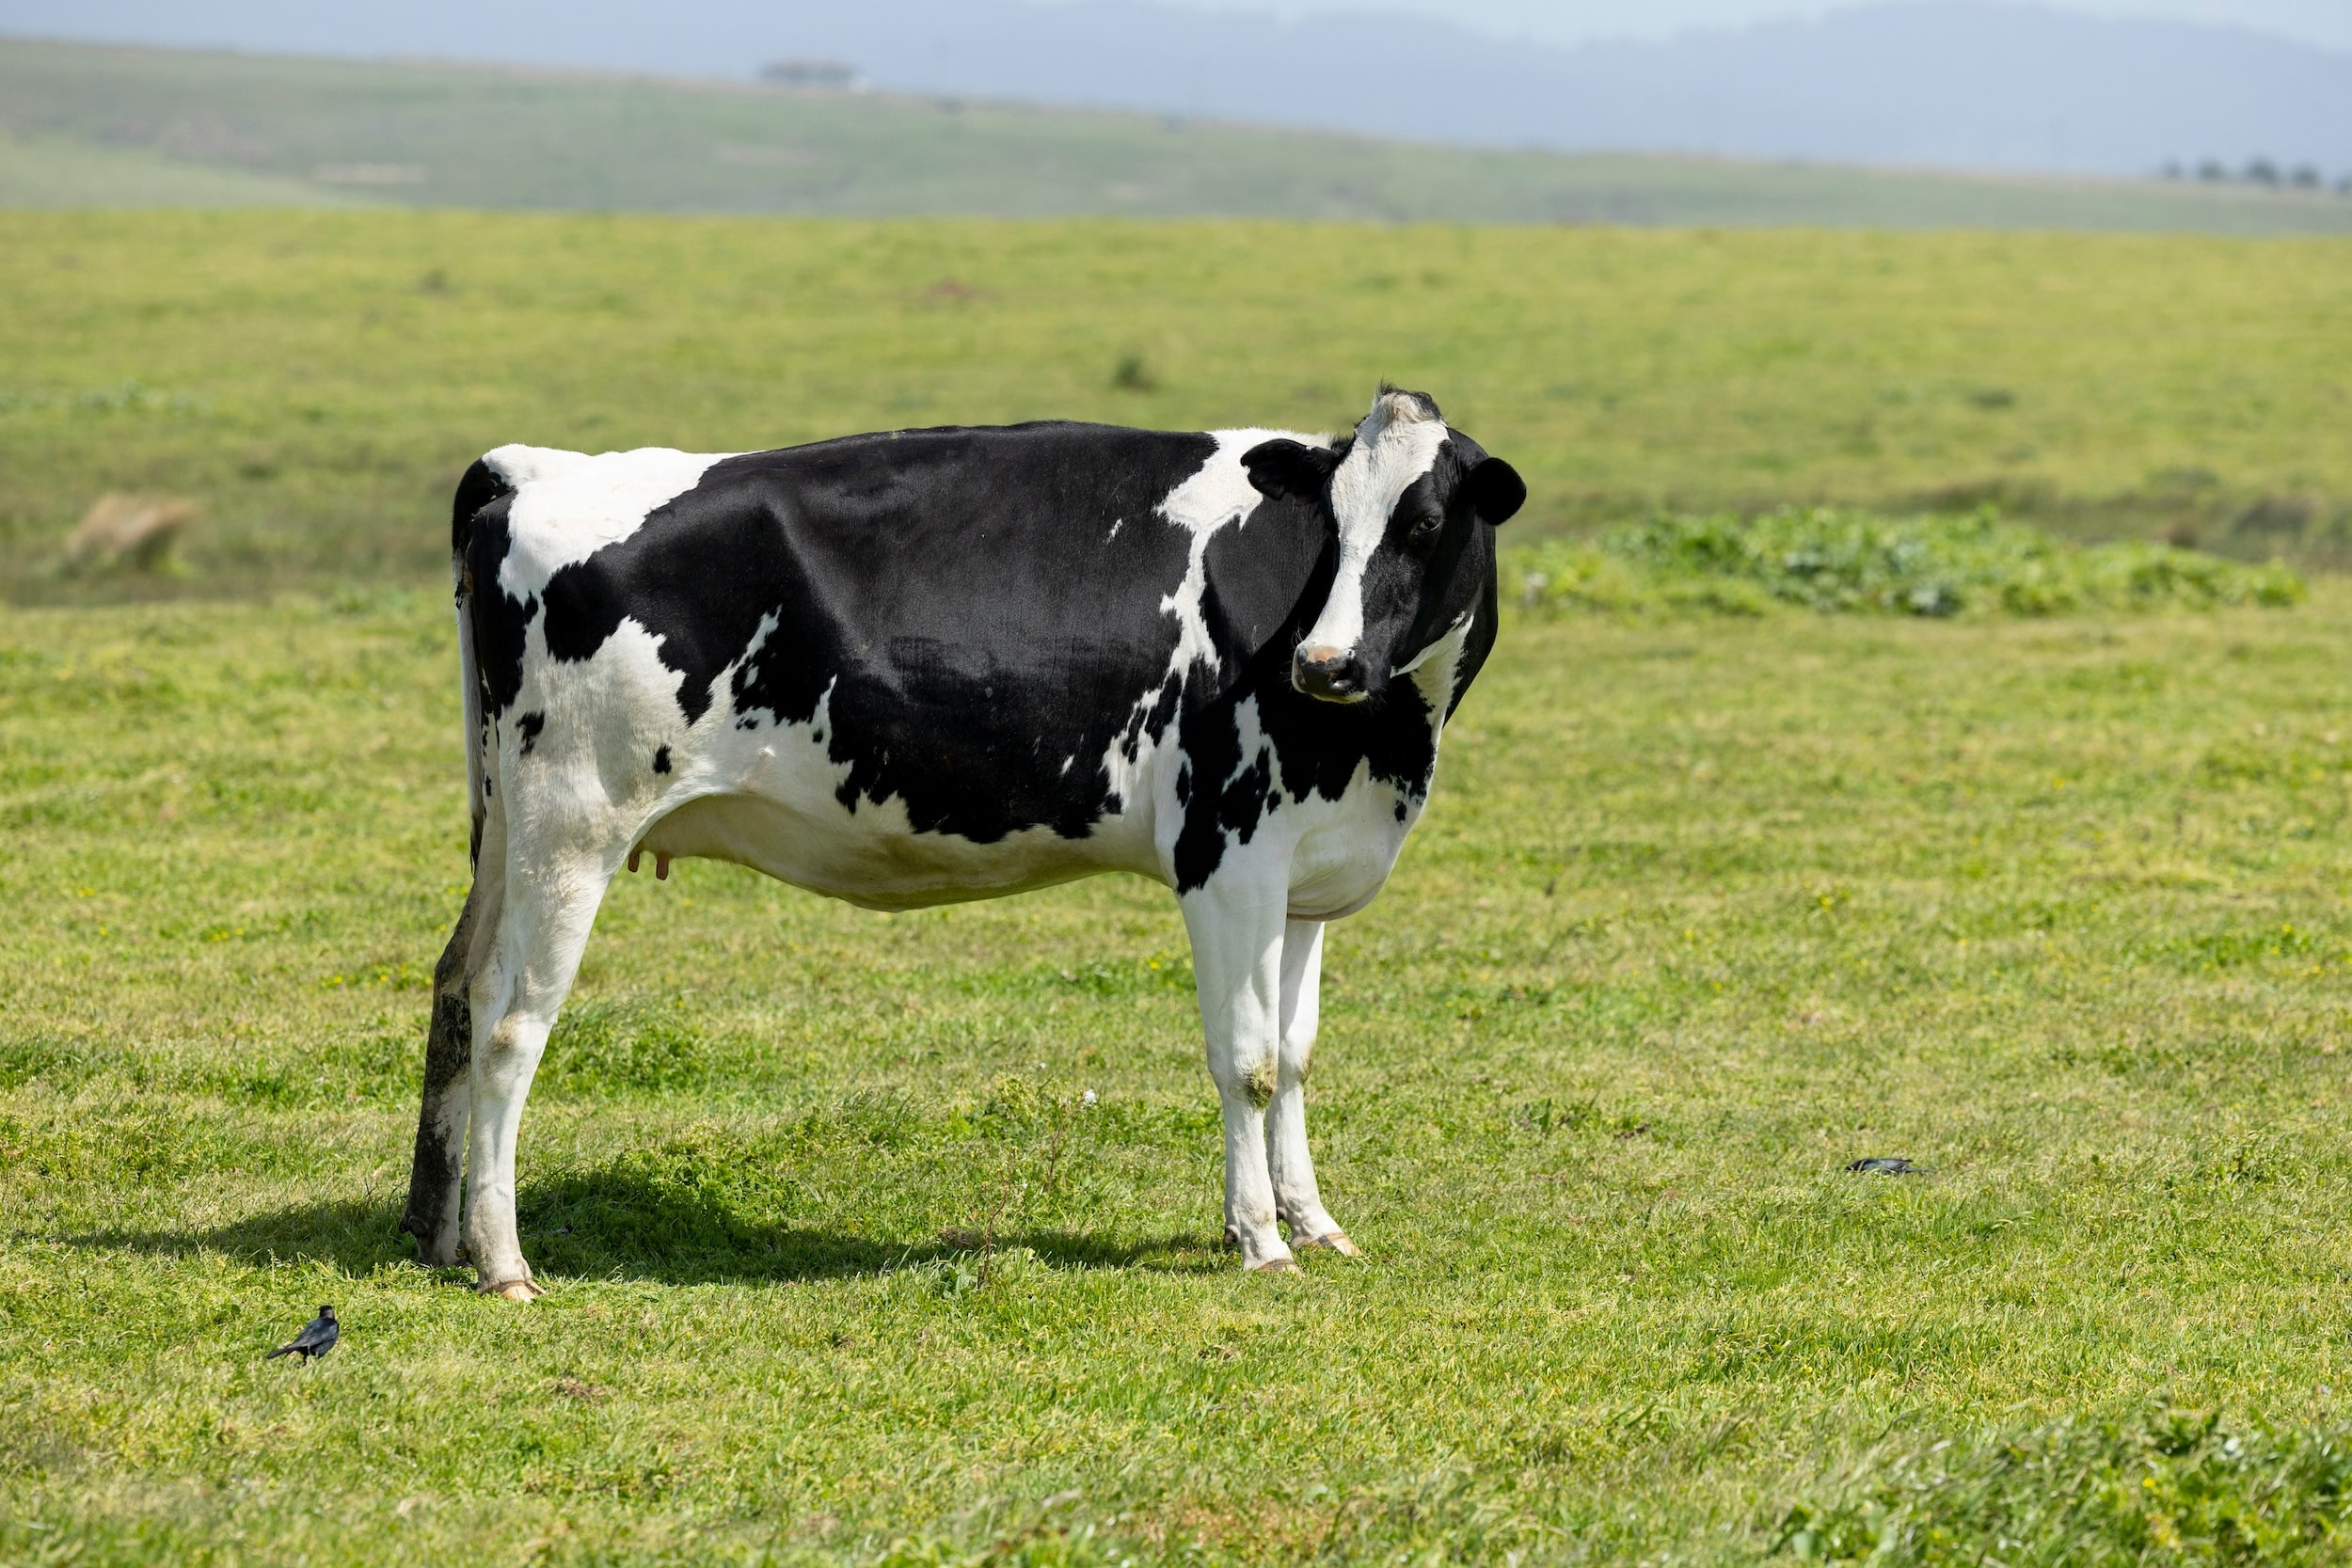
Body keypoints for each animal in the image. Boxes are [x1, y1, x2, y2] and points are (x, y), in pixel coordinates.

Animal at [399, 386, 1525, 1298]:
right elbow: (1244, 1059)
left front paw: (1315, 1221)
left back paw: (436, 1234)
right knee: (510, 1021)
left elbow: (1293, 1056)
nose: (1324, 664)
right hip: (571, 820)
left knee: (456, 985)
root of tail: (534, 468)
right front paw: (1259, 1238)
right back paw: (503, 1259)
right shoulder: (1226, 849)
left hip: (506, 824)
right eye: (1331, 523)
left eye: (1425, 523)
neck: (1386, 749)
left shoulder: (1305, 865)